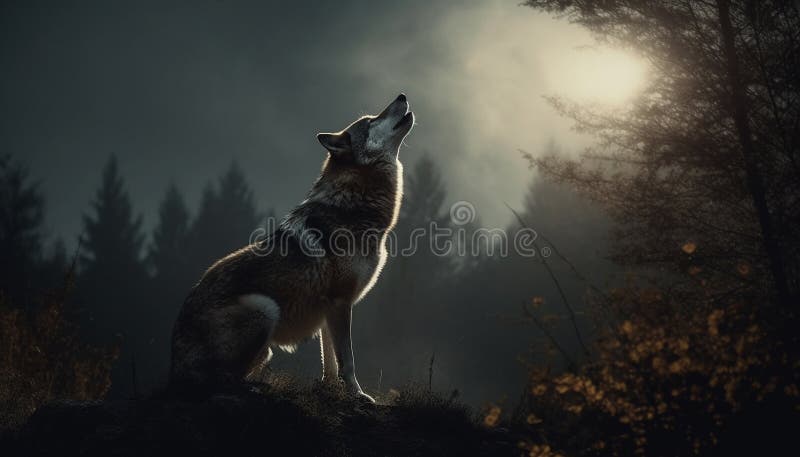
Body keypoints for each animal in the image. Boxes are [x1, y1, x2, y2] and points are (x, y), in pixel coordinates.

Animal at [170, 94, 414, 402]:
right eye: (371, 121)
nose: (402, 96)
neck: (354, 204)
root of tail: (173, 368)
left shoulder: (328, 310)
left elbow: (330, 361)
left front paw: (331, 390)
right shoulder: (340, 302)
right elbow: (347, 359)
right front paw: (358, 395)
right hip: (265, 308)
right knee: (223, 380)